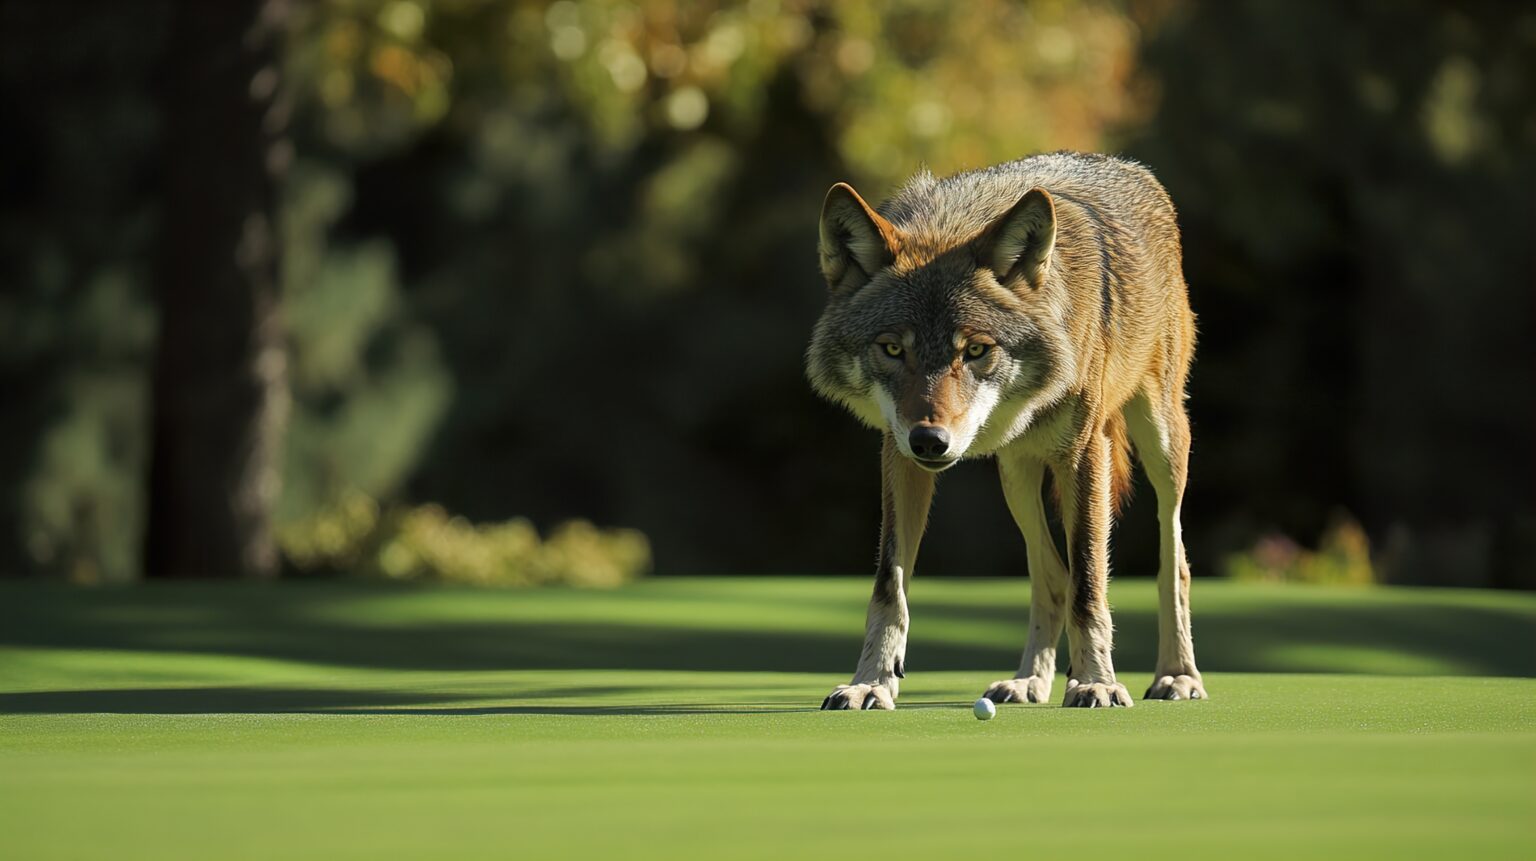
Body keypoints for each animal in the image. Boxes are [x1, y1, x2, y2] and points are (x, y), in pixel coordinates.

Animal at [806, 151, 1205, 709]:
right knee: (1050, 575)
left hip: (1162, 446)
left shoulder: (1086, 453)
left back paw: (1177, 675)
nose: (930, 441)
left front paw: (1097, 682)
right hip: (1016, 475)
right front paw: (872, 683)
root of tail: (1127, 166)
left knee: (1174, 564)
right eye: (892, 349)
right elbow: (889, 586)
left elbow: (1090, 583)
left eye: (976, 349)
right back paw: (1029, 682)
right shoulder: (899, 457)